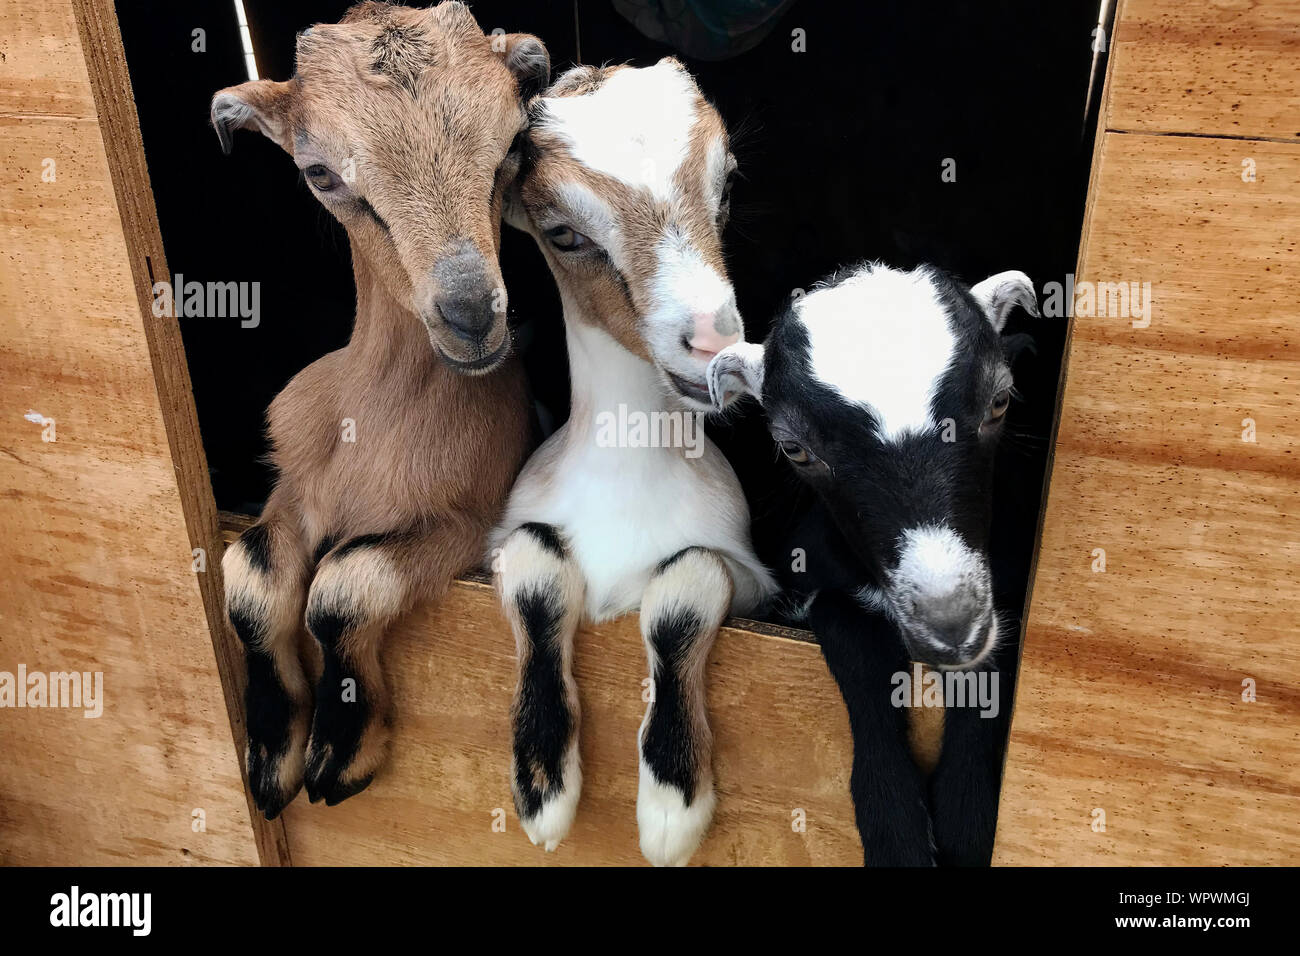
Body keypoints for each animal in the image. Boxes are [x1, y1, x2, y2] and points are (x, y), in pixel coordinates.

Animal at [210, 2, 549, 817]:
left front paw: (338, 757)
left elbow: (341, 584)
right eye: (320, 173)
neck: (376, 423)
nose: (471, 316)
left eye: (513, 145)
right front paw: (270, 760)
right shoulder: (297, 491)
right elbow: (250, 572)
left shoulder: (463, 527)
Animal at [491, 60, 778, 866]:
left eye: (727, 182)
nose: (713, 341)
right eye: (562, 231)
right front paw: (543, 789)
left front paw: (672, 804)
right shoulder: (506, 540)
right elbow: (535, 563)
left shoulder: (752, 582)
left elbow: (684, 579)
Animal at [707, 262, 1038, 865]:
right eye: (795, 449)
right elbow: (850, 639)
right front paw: (896, 832)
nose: (951, 628)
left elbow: (996, 657)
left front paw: (967, 819)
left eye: (1000, 402)